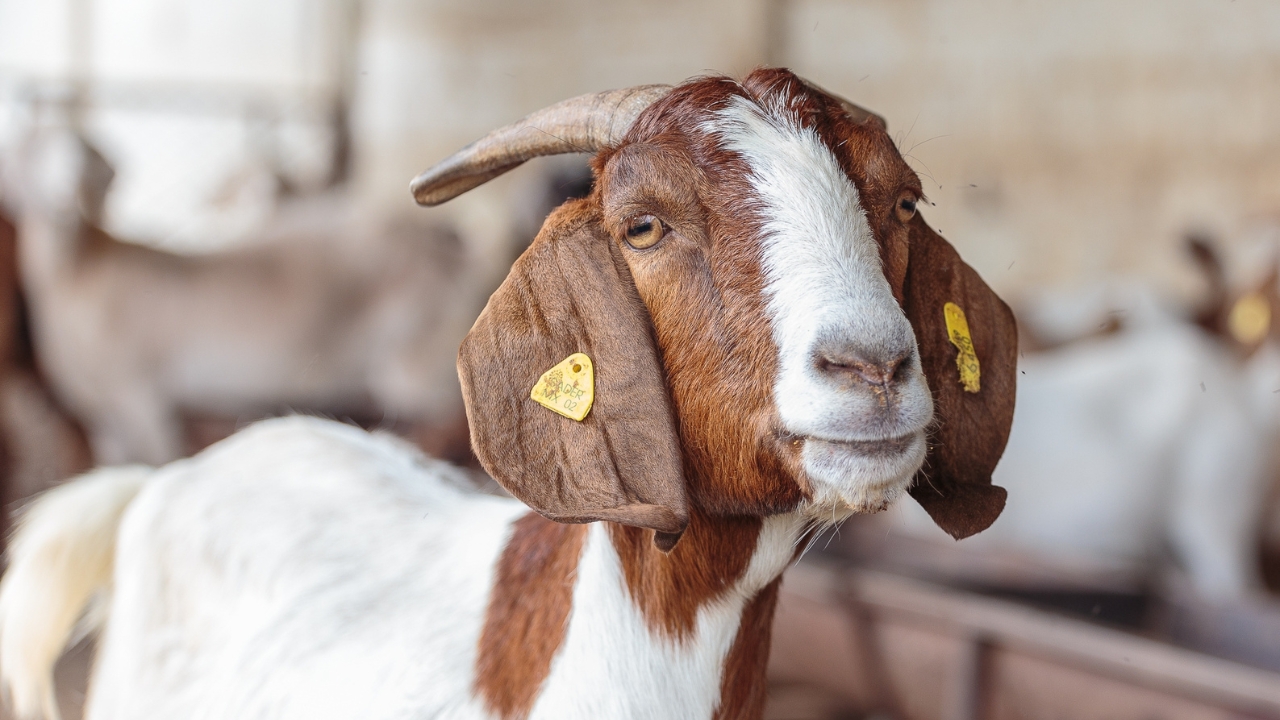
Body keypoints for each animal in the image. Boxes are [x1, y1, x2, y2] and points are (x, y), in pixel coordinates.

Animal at [1, 128, 486, 466]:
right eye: (36, 151)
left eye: (84, 158)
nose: (66, 199)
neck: (81, 273)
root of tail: (445, 242)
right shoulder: (103, 415)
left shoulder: (141, 395)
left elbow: (160, 460)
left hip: (414, 357)